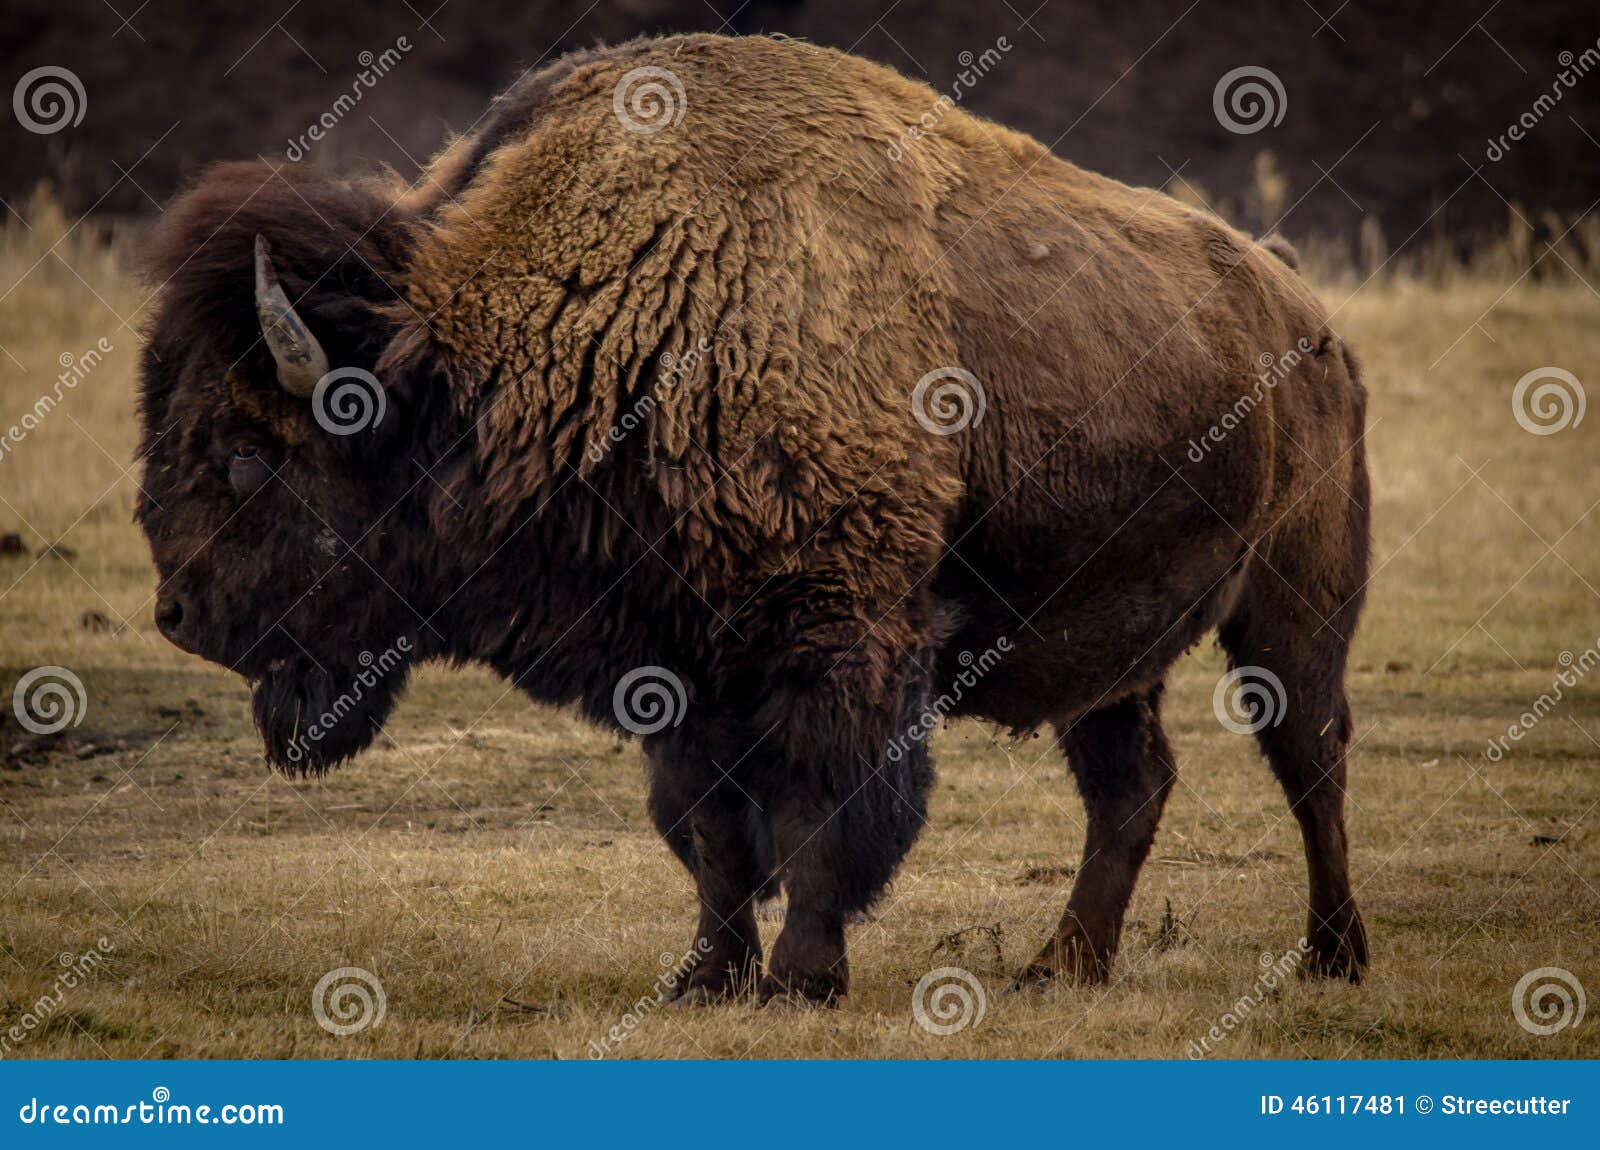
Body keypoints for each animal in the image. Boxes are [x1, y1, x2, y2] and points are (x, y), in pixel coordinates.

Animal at [136, 33, 1370, 1003]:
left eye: (244, 450)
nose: (179, 615)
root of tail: (1303, 309)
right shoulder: (678, 672)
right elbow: (708, 834)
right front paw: (704, 980)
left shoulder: (840, 645)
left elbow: (821, 818)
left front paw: (804, 979)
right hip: (1109, 647)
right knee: (1133, 782)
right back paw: (1061, 967)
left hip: (1292, 606)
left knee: (1310, 760)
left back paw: (1331, 956)